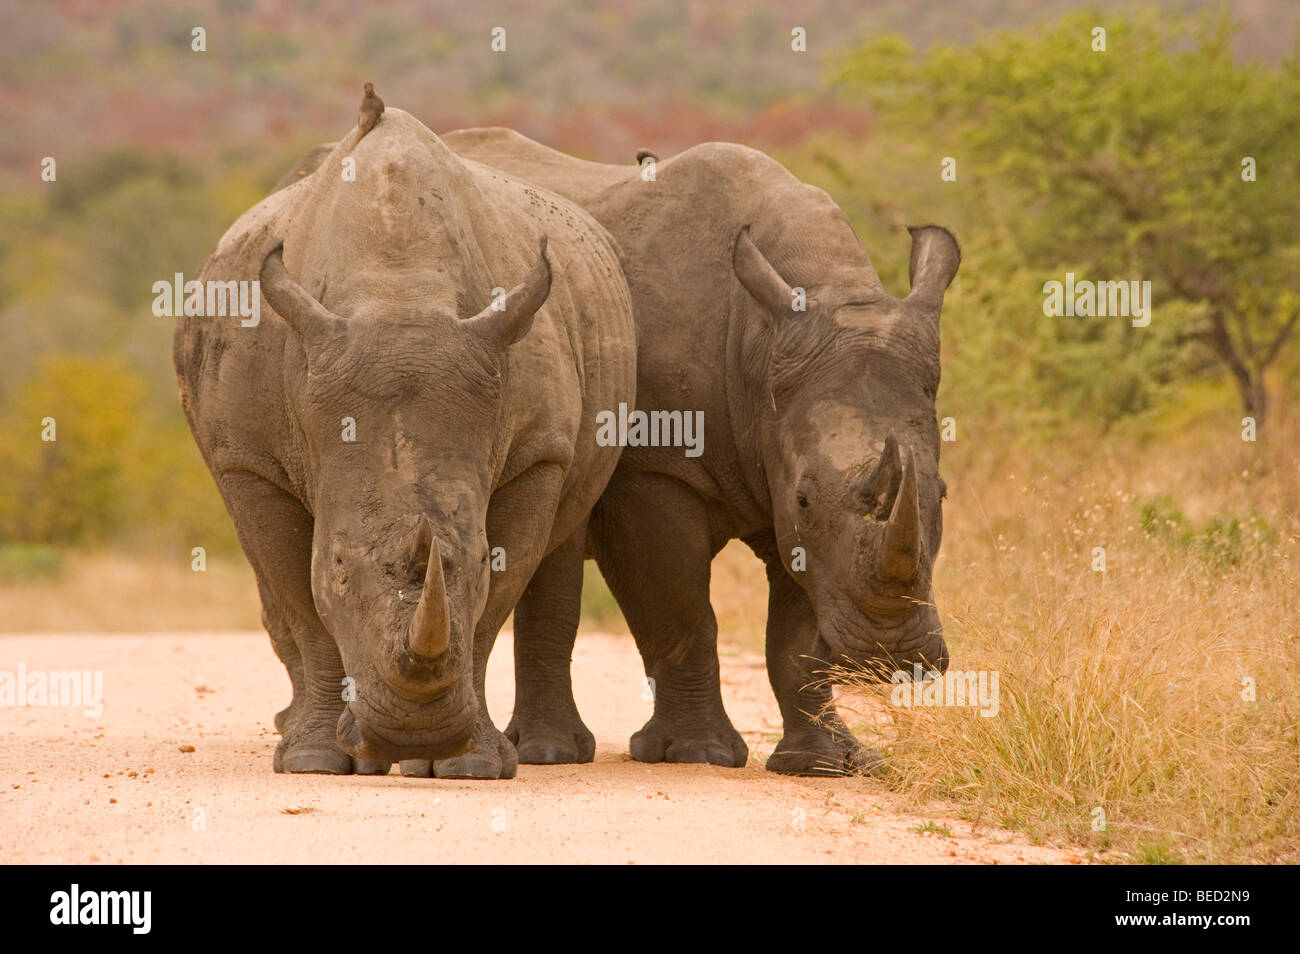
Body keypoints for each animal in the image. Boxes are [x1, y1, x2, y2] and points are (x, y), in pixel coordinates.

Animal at [174, 105, 636, 778]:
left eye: (477, 560)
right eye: (339, 567)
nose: (411, 733)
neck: (396, 287)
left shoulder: (536, 453)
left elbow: (494, 602)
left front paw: (470, 765)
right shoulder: (248, 458)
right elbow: (300, 597)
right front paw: (315, 760)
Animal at [439, 129, 961, 775]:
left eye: (943, 494)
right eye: (805, 498)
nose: (886, 656)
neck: (762, 343)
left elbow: (795, 630)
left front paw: (827, 764)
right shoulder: (655, 469)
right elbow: (684, 613)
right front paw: (699, 754)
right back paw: (551, 755)